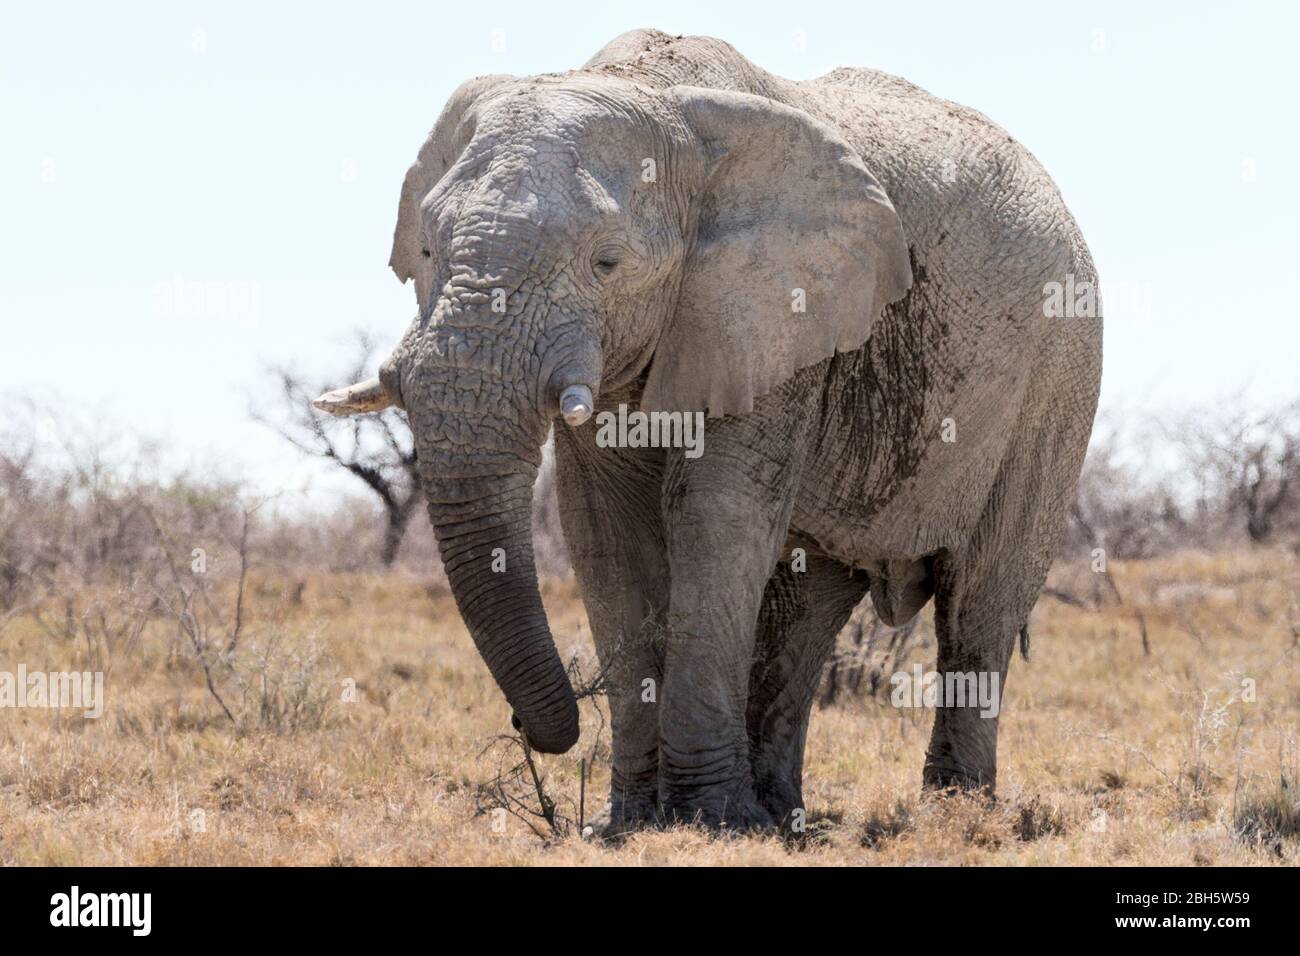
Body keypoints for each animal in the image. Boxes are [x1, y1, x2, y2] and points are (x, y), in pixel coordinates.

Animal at [315, 29, 1102, 832]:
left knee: (981, 600)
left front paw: (708, 820)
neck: (657, 94)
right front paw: (632, 821)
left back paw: (955, 811)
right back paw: (783, 813)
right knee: (807, 605)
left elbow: (713, 516)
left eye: (608, 262)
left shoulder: (776, 311)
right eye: (427, 251)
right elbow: (604, 531)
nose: (528, 728)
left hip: (1058, 374)